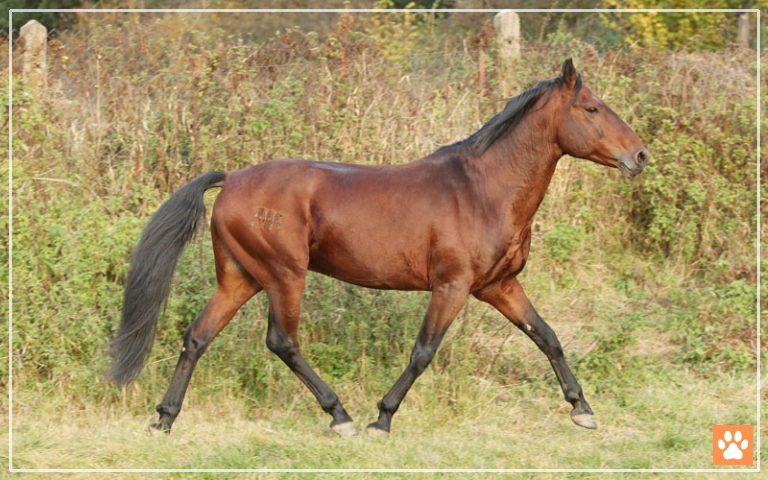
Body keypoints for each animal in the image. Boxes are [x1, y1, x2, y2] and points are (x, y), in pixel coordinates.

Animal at [108, 59, 648, 437]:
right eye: (591, 108)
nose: (640, 155)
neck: (483, 189)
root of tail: (233, 179)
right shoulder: (451, 287)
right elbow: (423, 351)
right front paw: (382, 418)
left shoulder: (499, 286)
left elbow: (547, 337)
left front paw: (582, 410)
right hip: (284, 276)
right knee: (282, 341)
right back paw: (340, 415)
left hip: (240, 278)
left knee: (197, 337)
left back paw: (165, 418)